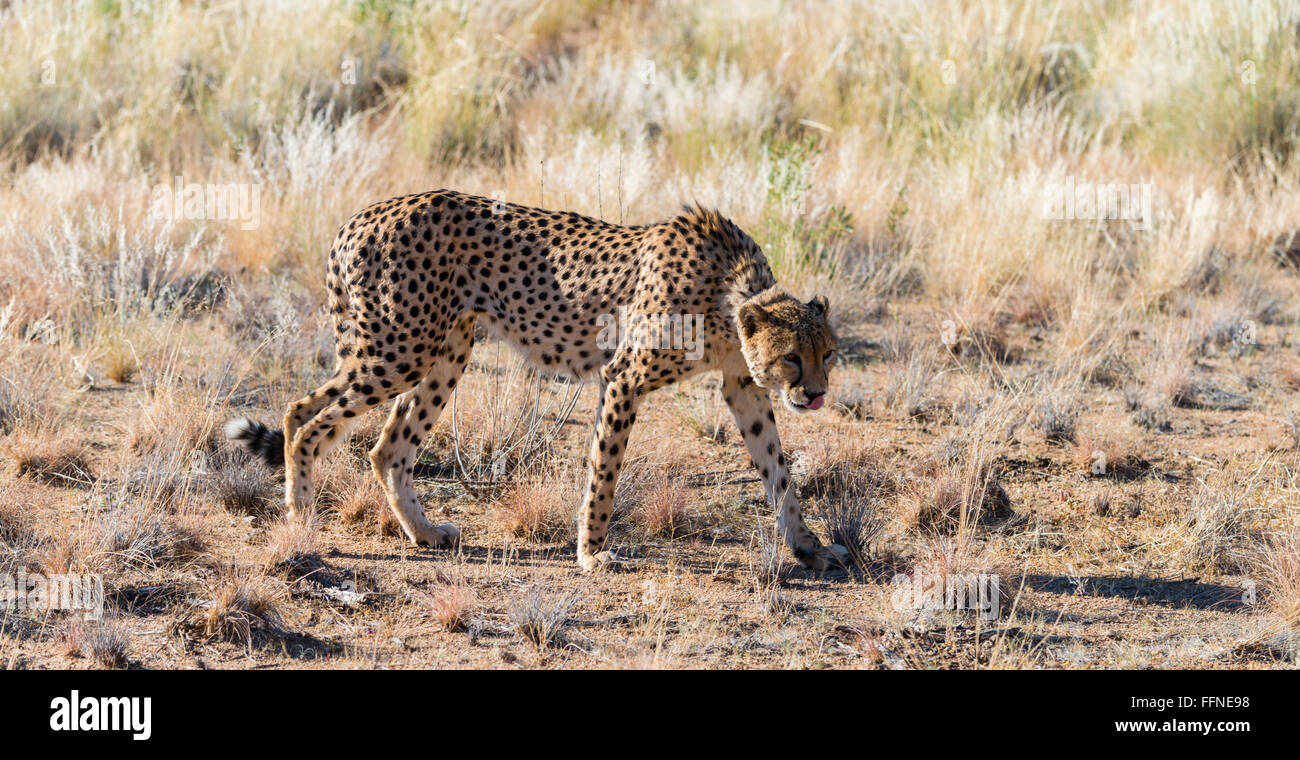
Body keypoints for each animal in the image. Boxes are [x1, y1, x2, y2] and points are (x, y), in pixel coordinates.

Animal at [226, 189, 848, 572]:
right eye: (791, 358)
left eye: (828, 354)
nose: (815, 394)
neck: (729, 296)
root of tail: (364, 213)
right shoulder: (623, 376)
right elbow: (603, 470)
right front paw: (593, 553)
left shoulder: (743, 386)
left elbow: (779, 470)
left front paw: (807, 545)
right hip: (398, 349)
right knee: (308, 422)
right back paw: (301, 525)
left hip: (443, 351)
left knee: (378, 442)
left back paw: (424, 533)